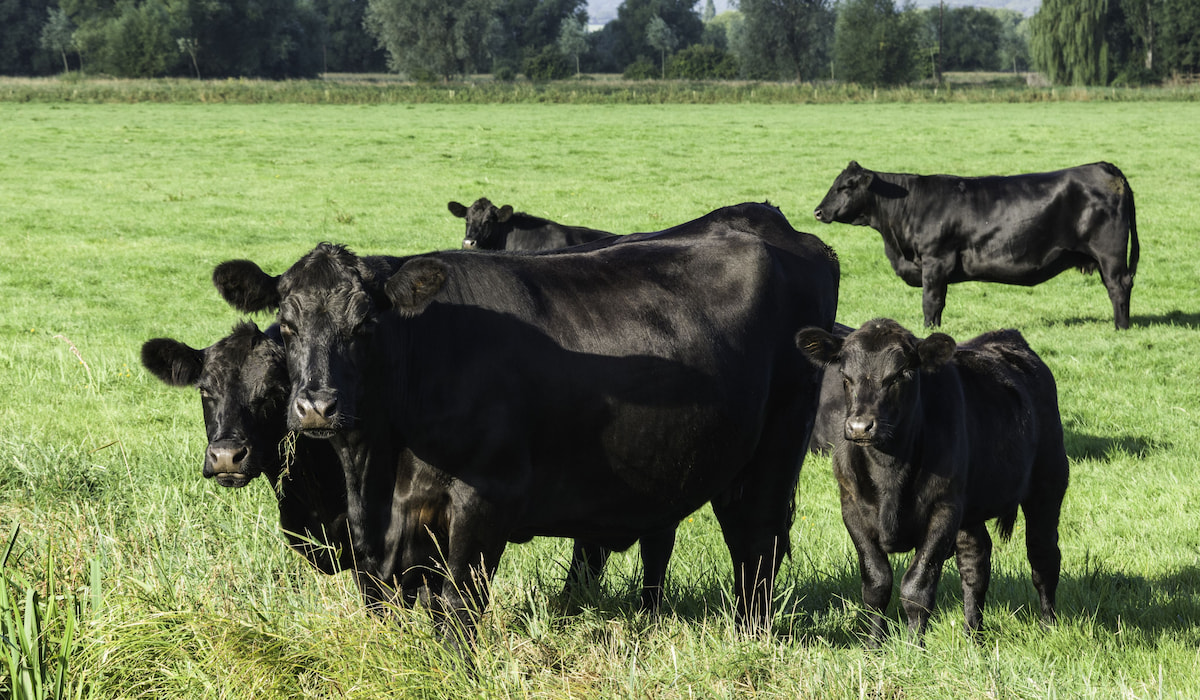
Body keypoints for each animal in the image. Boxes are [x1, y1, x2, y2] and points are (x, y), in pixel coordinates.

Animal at [795, 318, 1069, 646]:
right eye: (845, 377)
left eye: (901, 374)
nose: (860, 426)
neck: (889, 471)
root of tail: (1008, 338)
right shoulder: (851, 508)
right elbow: (876, 584)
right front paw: (873, 646)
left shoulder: (943, 510)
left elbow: (917, 587)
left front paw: (914, 647)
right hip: (971, 509)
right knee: (975, 562)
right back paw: (973, 635)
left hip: (1048, 483)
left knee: (1043, 556)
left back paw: (1049, 627)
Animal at [813, 161, 1138, 329]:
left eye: (846, 186)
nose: (818, 211)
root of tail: (1105, 167)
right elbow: (939, 303)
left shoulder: (935, 260)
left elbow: (931, 301)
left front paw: (927, 330)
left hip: (1110, 255)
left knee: (1118, 287)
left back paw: (1120, 327)